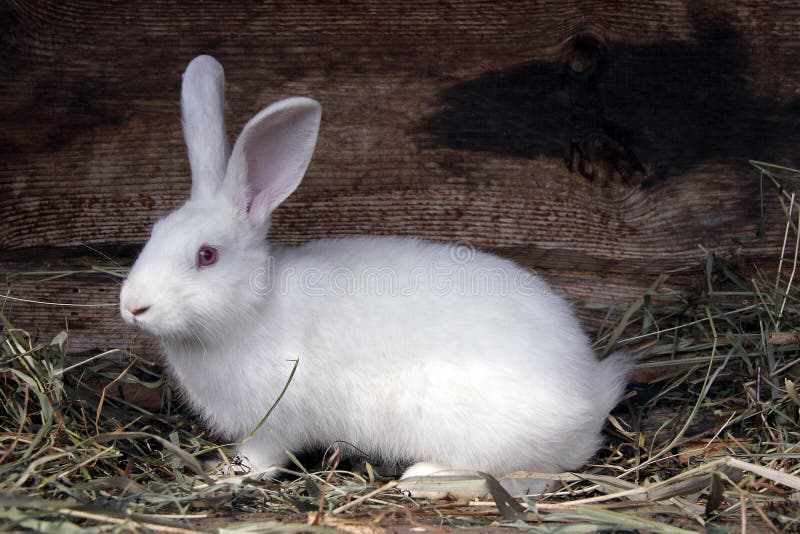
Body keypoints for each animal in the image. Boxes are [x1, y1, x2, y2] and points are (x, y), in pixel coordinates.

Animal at [119, 55, 632, 492]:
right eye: (153, 233)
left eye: (206, 255)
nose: (133, 307)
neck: (252, 311)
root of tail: (588, 397)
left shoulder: (275, 422)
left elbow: (263, 458)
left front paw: (225, 474)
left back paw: (423, 477)